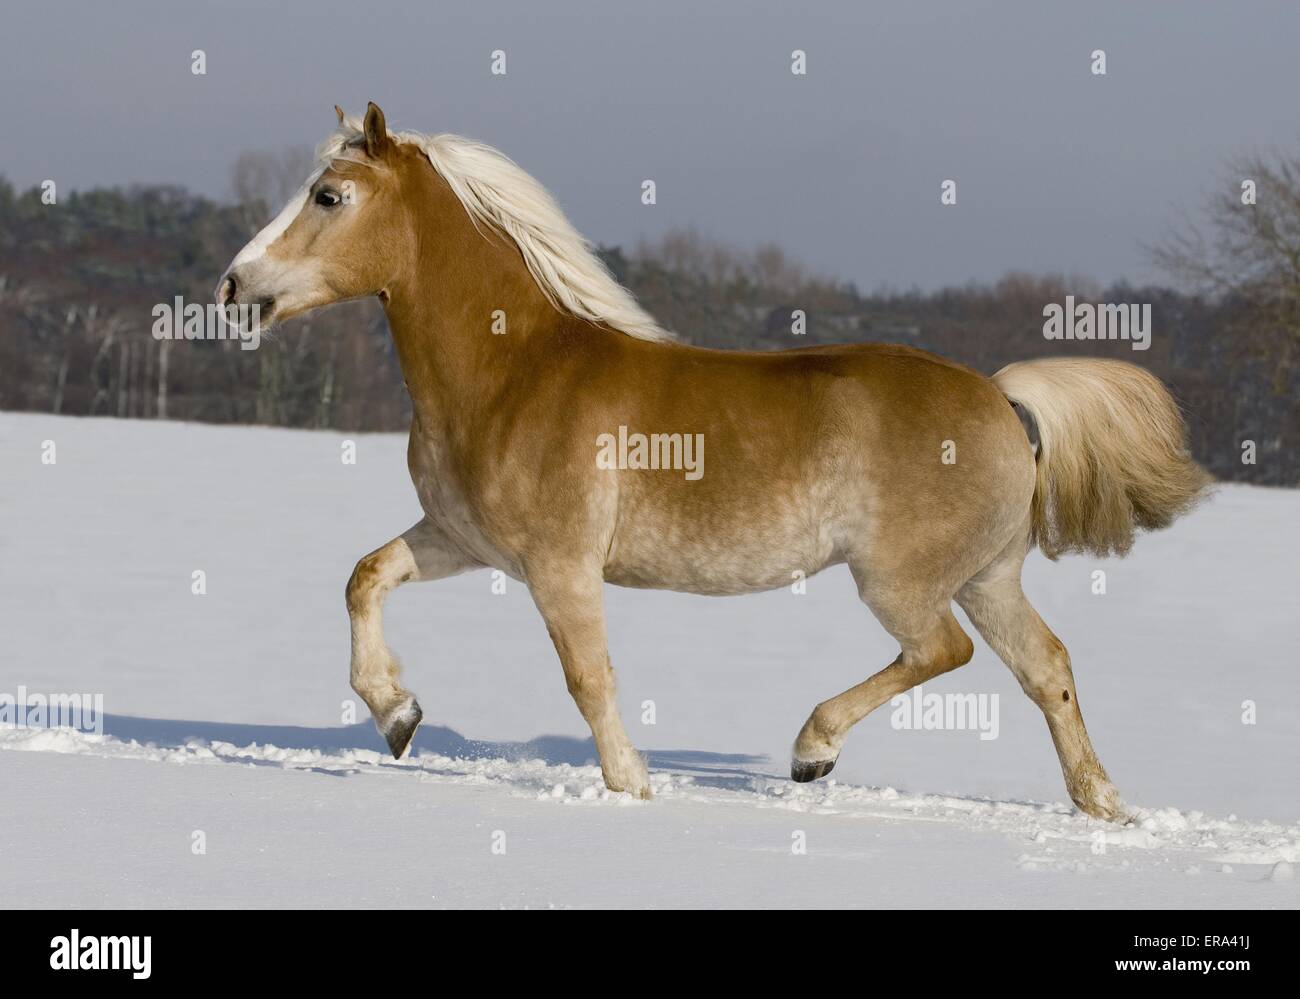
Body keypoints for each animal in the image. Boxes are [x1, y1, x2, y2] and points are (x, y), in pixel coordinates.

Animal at [217, 103, 1209, 820]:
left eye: (329, 196)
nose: (234, 287)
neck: (514, 370)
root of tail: (1002, 399)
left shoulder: (560, 565)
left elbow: (589, 678)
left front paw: (632, 786)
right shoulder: (463, 539)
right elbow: (365, 576)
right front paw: (397, 716)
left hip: (901, 579)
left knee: (943, 650)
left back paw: (813, 749)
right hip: (987, 575)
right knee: (1047, 667)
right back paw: (1104, 807)